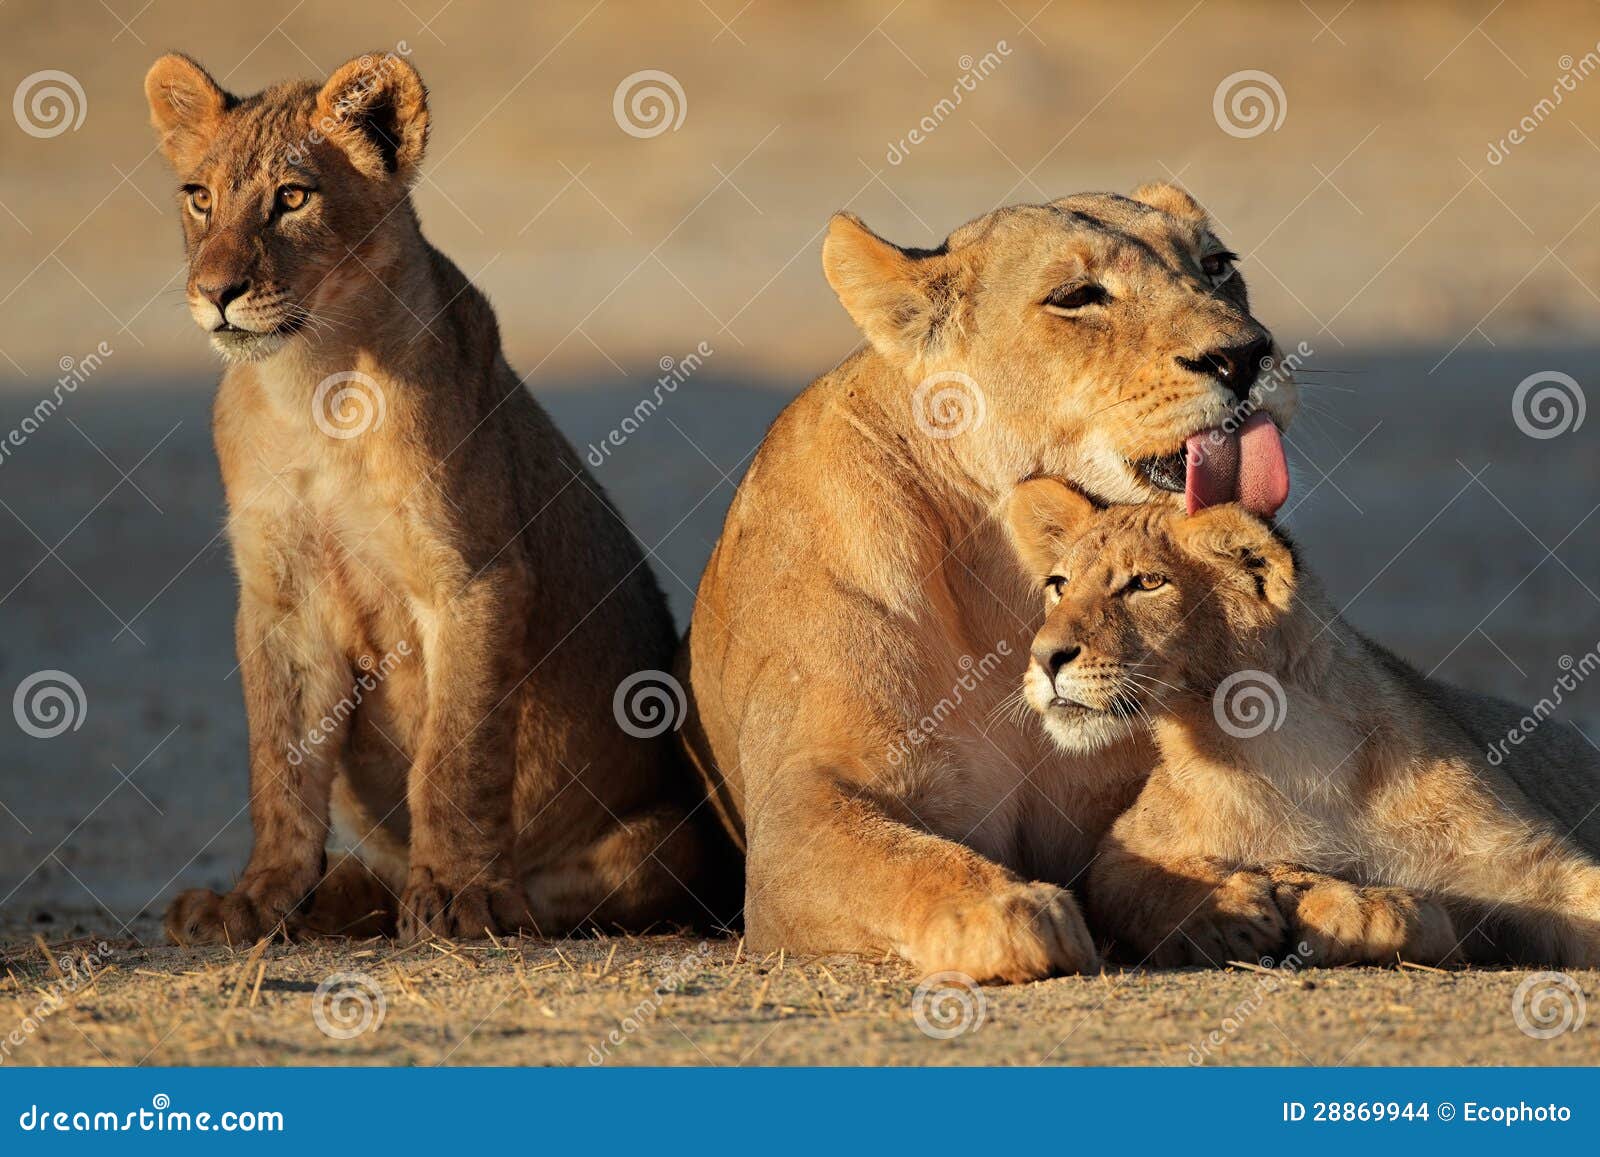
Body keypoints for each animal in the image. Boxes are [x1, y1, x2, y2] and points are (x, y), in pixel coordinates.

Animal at [145, 51, 736, 945]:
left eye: (294, 197)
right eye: (199, 196)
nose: (217, 290)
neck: (312, 387)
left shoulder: (474, 579)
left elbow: (455, 753)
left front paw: (461, 895)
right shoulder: (279, 598)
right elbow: (279, 763)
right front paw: (255, 899)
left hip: (666, 835)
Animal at [679, 185, 1296, 981]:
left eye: (1217, 266)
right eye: (1078, 296)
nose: (1246, 355)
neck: (1009, 585)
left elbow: (1146, 849)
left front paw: (1238, 901)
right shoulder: (798, 814)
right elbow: (902, 860)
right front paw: (1008, 910)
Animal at [1005, 479, 1600, 967]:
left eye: (1148, 583)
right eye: (1059, 584)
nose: (1044, 657)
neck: (1293, 750)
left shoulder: (1531, 867)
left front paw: (1362, 911)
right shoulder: (1126, 844)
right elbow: (1145, 883)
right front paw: (1232, 913)